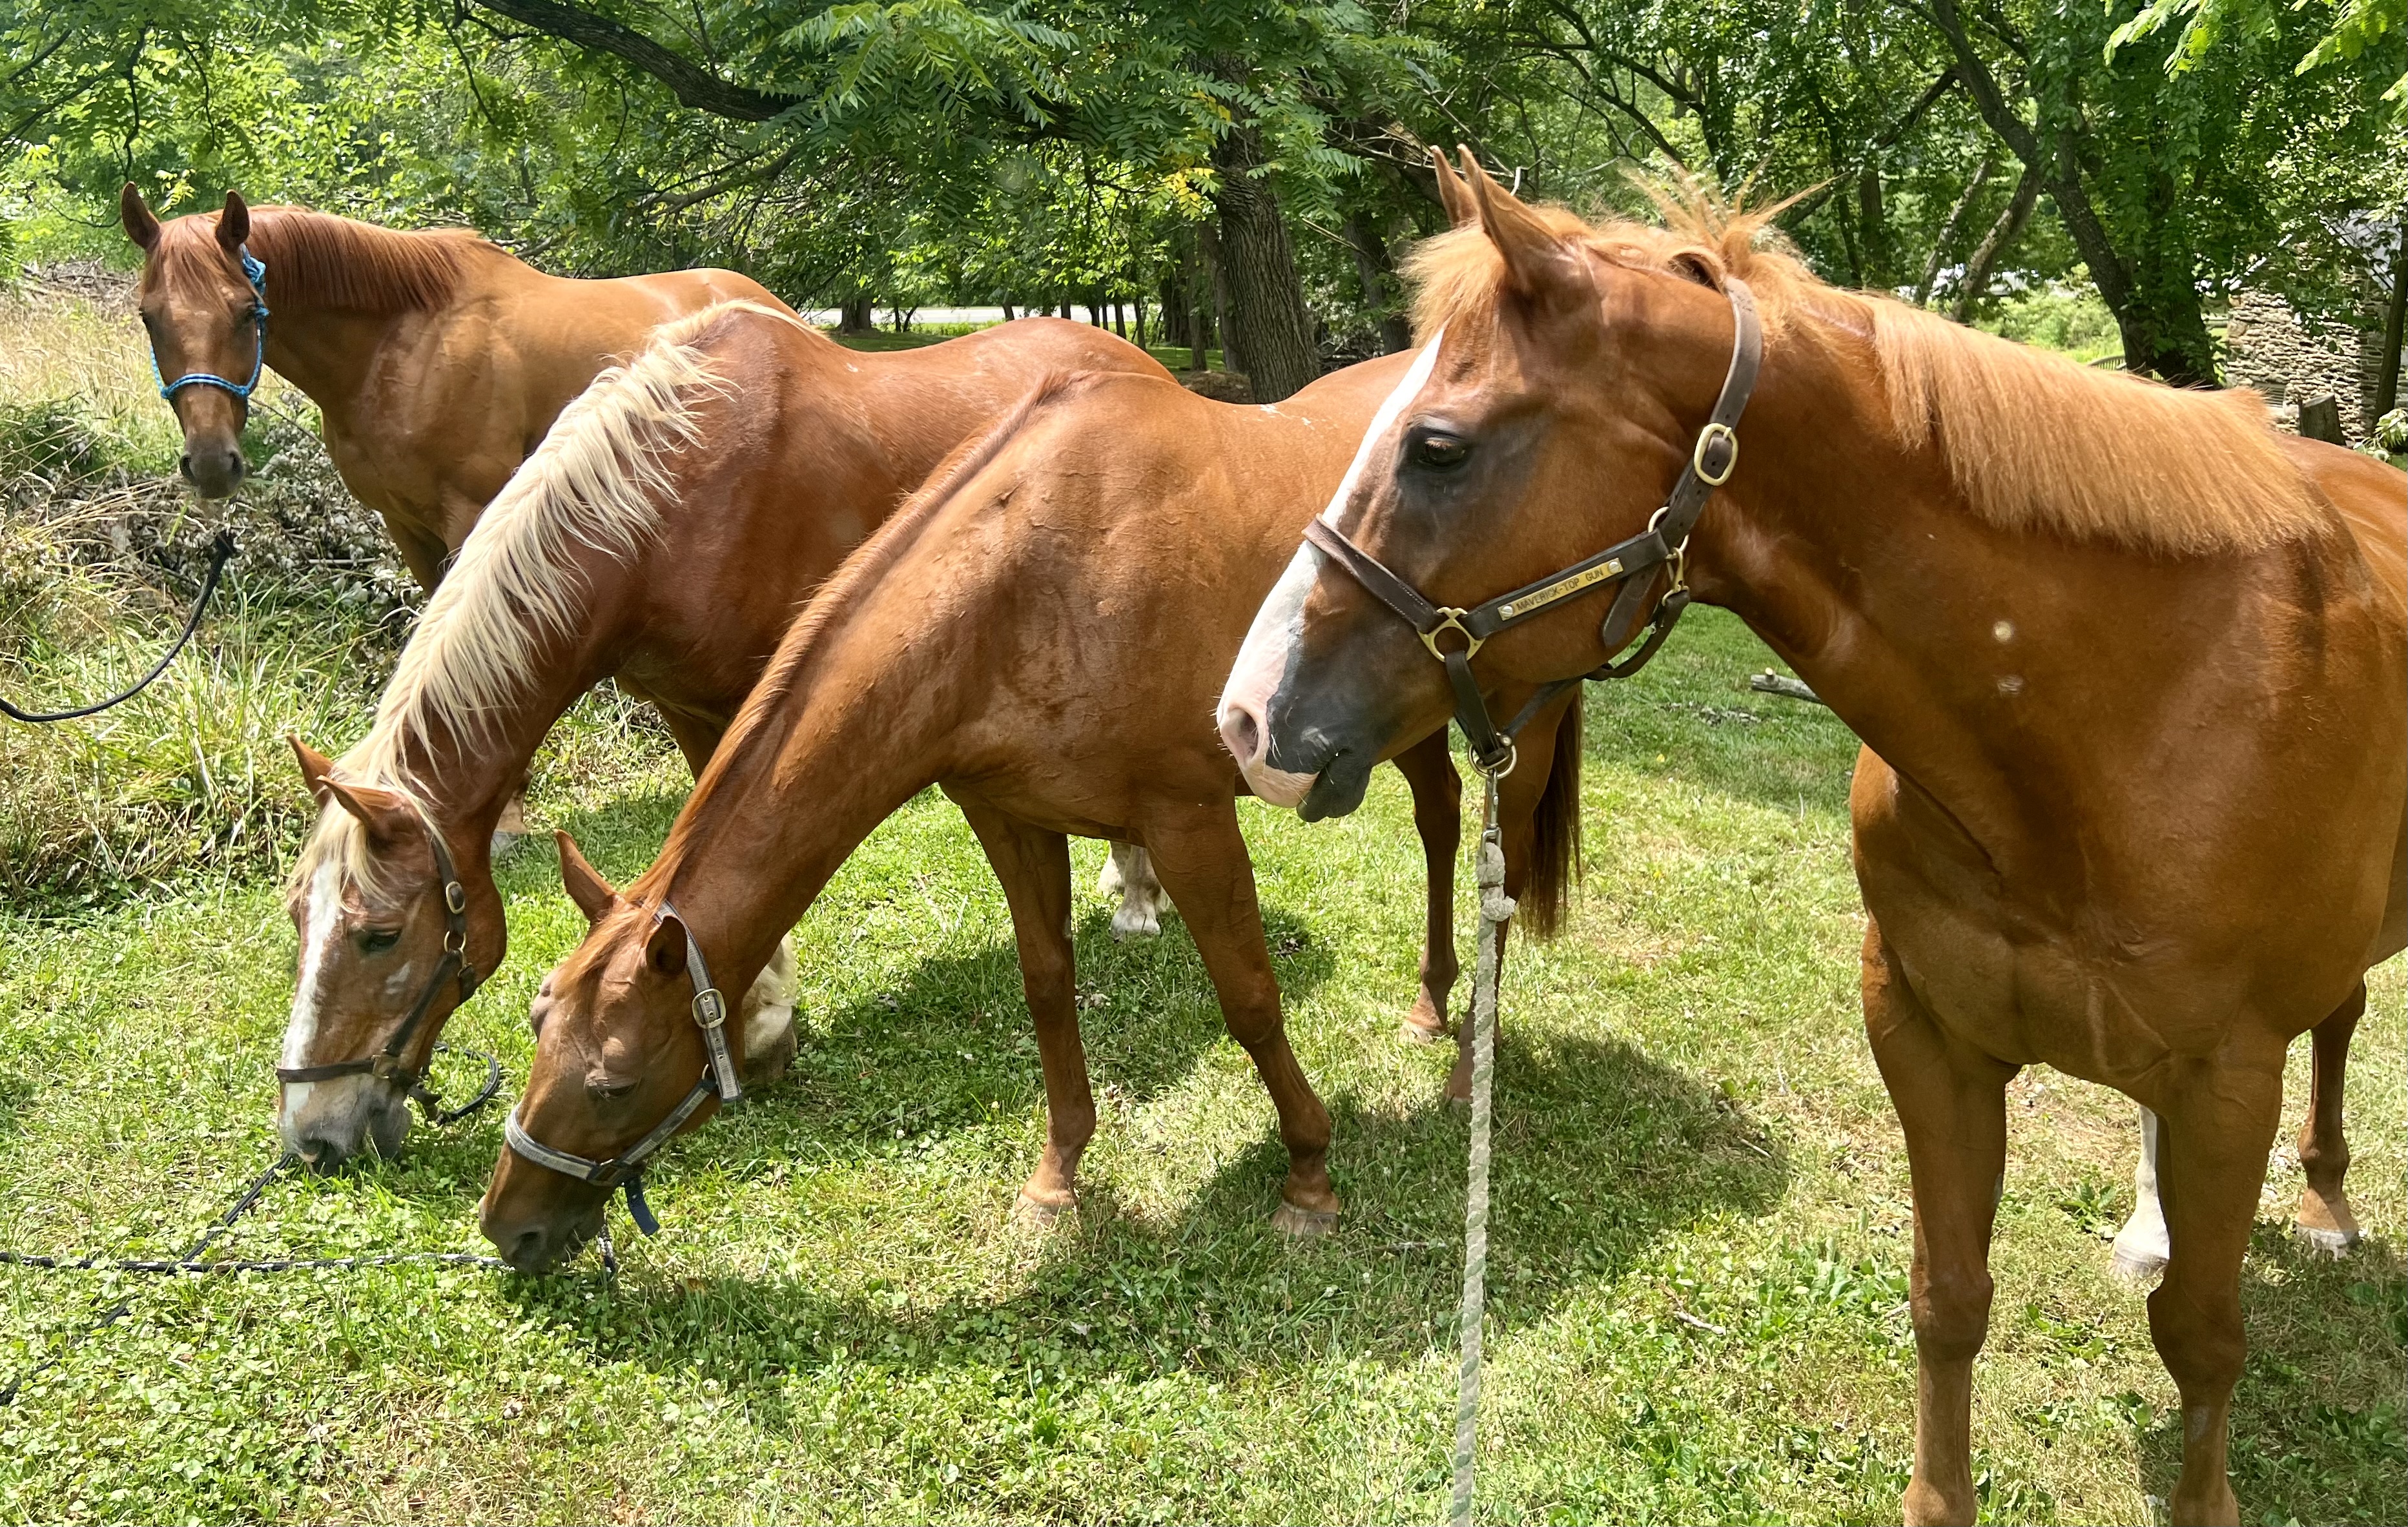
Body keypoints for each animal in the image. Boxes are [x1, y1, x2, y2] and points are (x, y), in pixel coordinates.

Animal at [277, 300, 1183, 1165]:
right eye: (295, 915)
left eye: (378, 936)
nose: (312, 1137)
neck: (681, 493)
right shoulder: (686, 704)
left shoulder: (762, 695)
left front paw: (762, 1024)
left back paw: (1140, 897)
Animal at [471, 354, 1585, 1273]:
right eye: (536, 1020)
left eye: (615, 1080)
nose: (507, 1228)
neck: (1033, 573)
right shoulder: (1011, 818)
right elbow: (1048, 986)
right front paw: (1058, 1175)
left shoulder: (1188, 820)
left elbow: (1251, 999)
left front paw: (1308, 1173)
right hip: (1409, 729)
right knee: (1441, 824)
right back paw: (1431, 1004)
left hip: (1523, 715)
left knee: (1497, 877)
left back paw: (1468, 1060)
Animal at [1217, 153, 2403, 1526]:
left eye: (1436, 447)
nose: (1244, 719)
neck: (2113, 715)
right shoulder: (1926, 1038)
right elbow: (1948, 1299)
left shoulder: (2225, 1079)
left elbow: (2200, 1339)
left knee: (2337, 1028)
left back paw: (2322, 1200)